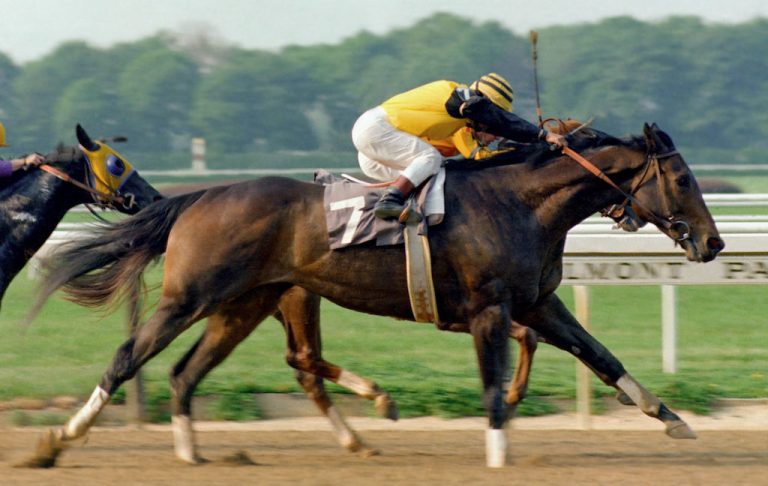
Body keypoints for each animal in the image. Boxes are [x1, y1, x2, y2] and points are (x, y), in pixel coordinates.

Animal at [24, 123, 724, 468]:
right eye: (683, 179)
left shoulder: (535, 303)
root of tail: (195, 196)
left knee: (187, 372)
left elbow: (600, 356)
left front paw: (672, 418)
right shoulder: (490, 310)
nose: (714, 242)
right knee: (129, 358)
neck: (519, 202)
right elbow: (494, 383)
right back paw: (60, 440)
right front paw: (499, 449)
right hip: (190, 297)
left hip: (247, 304)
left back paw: (193, 450)